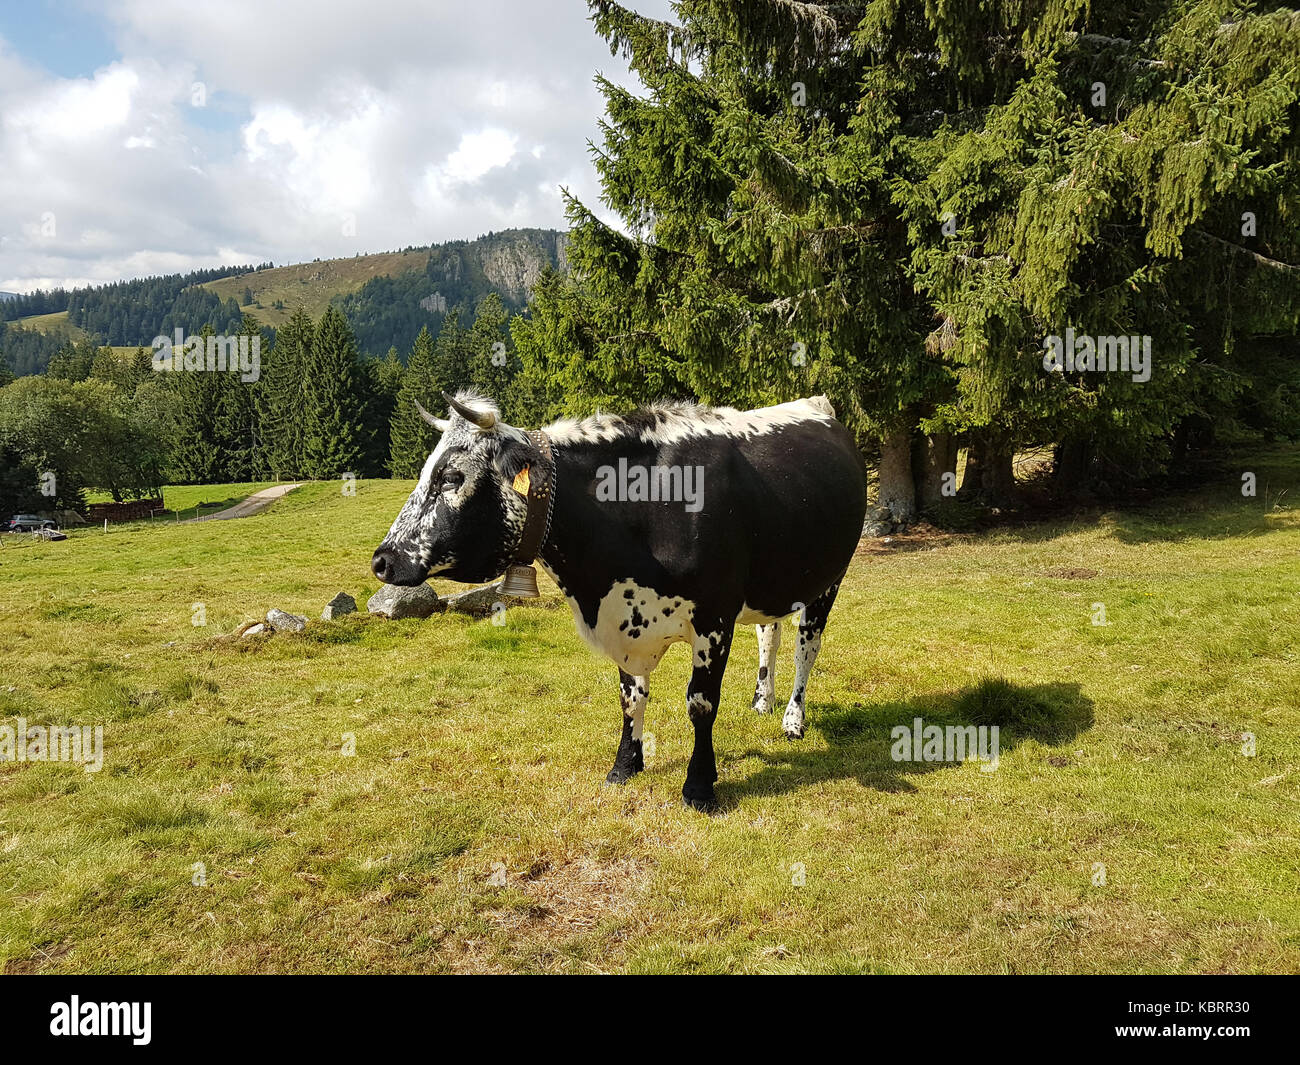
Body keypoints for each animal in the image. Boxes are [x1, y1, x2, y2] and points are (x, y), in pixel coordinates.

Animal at [372, 390, 866, 812]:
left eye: (451, 477)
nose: (382, 561)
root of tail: (818, 404)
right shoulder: (626, 615)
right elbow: (632, 698)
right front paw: (625, 765)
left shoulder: (714, 617)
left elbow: (700, 703)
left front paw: (699, 785)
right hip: (773, 583)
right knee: (770, 635)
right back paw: (763, 700)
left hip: (828, 580)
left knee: (806, 648)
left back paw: (793, 718)